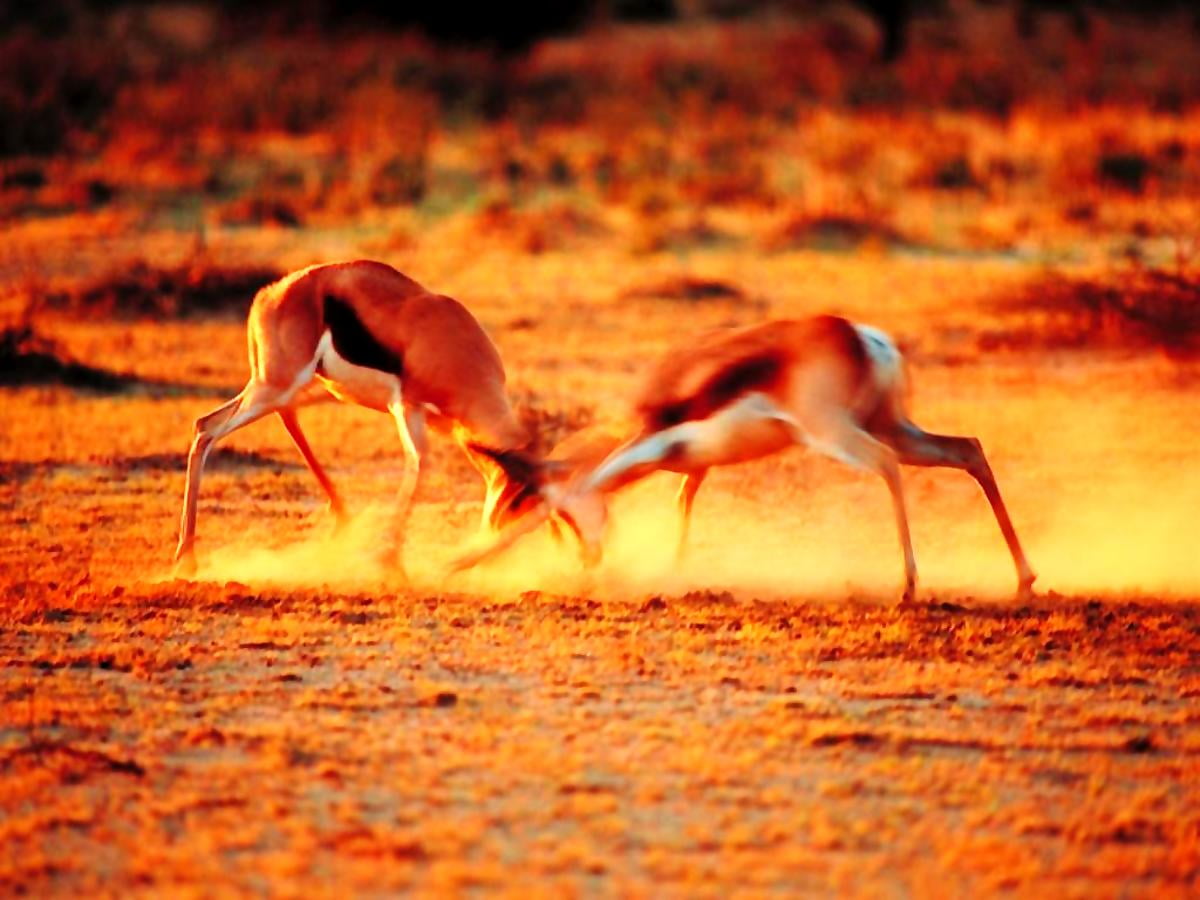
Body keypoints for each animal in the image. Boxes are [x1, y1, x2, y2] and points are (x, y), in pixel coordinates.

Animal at [173, 260, 552, 576]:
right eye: (516, 501)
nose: (483, 553)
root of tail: (270, 292)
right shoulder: (406, 408)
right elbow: (420, 464)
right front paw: (390, 565)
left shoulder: (451, 428)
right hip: (277, 385)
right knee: (207, 427)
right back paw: (186, 559)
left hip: (314, 388)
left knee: (272, 414)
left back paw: (343, 521)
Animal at [458, 315, 1036, 602]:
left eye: (517, 501)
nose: (586, 562)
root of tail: (863, 336)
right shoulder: (694, 467)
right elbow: (682, 508)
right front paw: (675, 572)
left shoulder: (643, 444)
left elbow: (586, 482)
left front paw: (460, 561)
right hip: (892, 425)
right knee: (967, 449)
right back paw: (1024, 579)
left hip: (837, 433)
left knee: (886, 465)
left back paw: (910, 585)